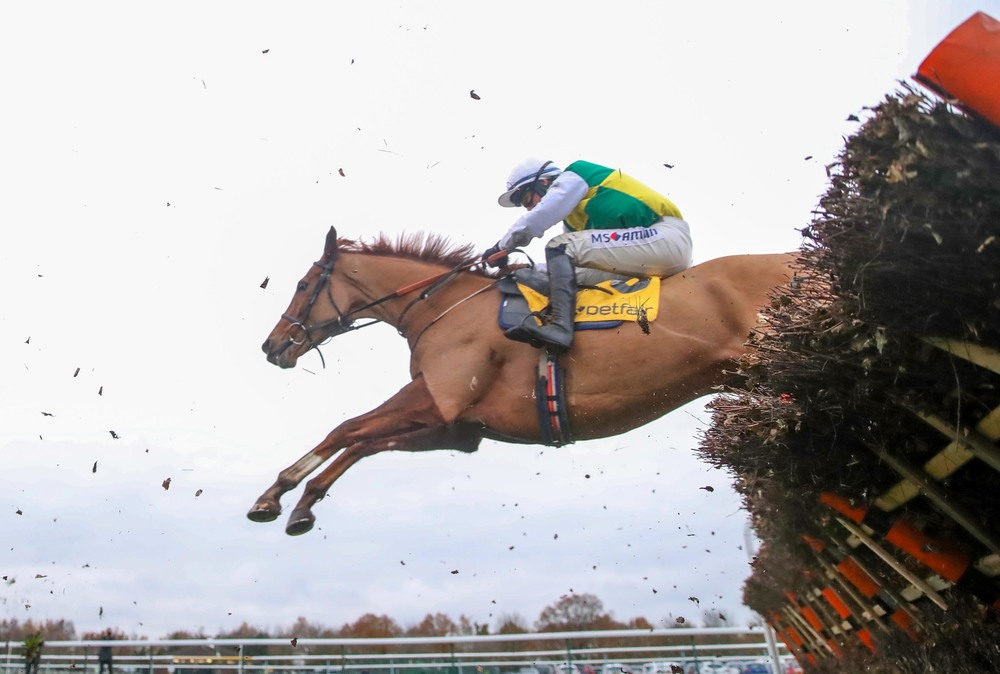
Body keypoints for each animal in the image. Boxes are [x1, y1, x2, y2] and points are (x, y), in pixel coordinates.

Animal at [252, 227, 797, 535]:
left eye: (303, 284)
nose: (272, 346)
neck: (442, 307)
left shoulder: (437, 399)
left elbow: (346, 429)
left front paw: (279, 492)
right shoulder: (458, 429)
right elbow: (364, 443)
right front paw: (302, 503)